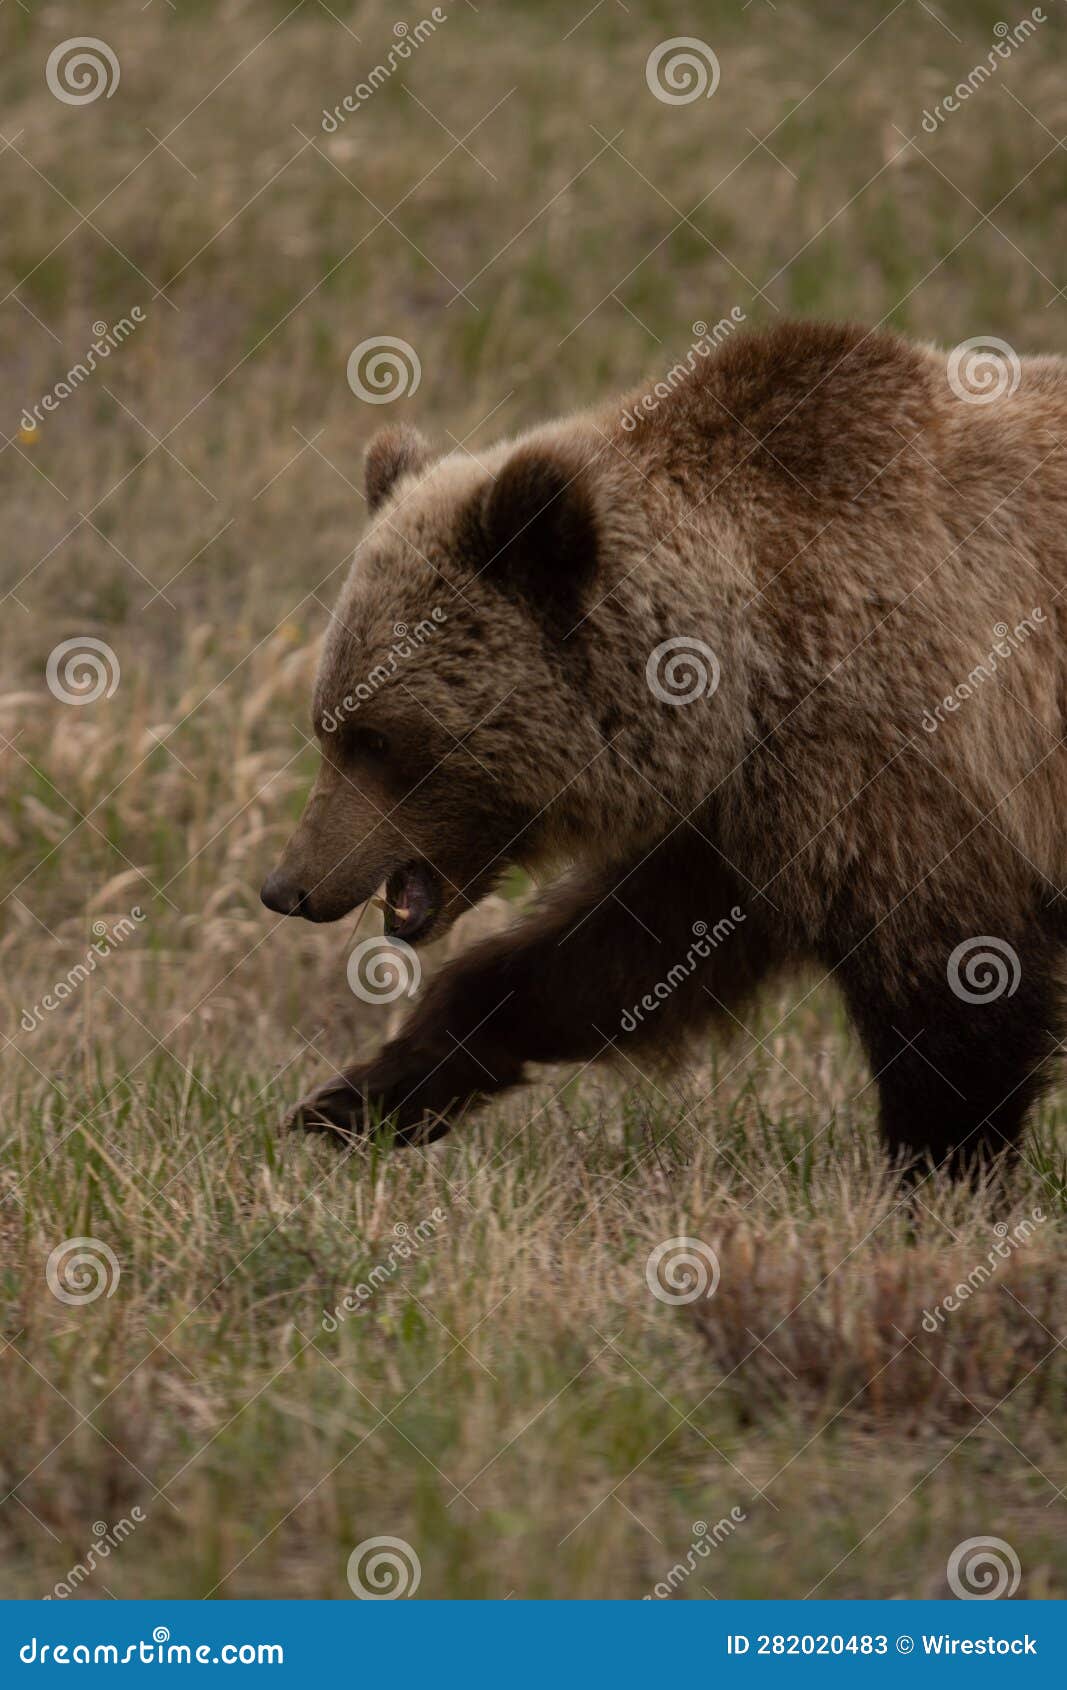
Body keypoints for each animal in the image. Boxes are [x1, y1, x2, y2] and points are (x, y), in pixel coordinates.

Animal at [261, 319, 1067, 1174]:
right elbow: (612, 960)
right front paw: (358, 1096)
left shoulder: (891, 756)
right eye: (327, 724)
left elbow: (949, 983)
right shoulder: (735, 823)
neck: (737, 683)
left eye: (376, 738)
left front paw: (940, 1170)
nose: (289, 887)